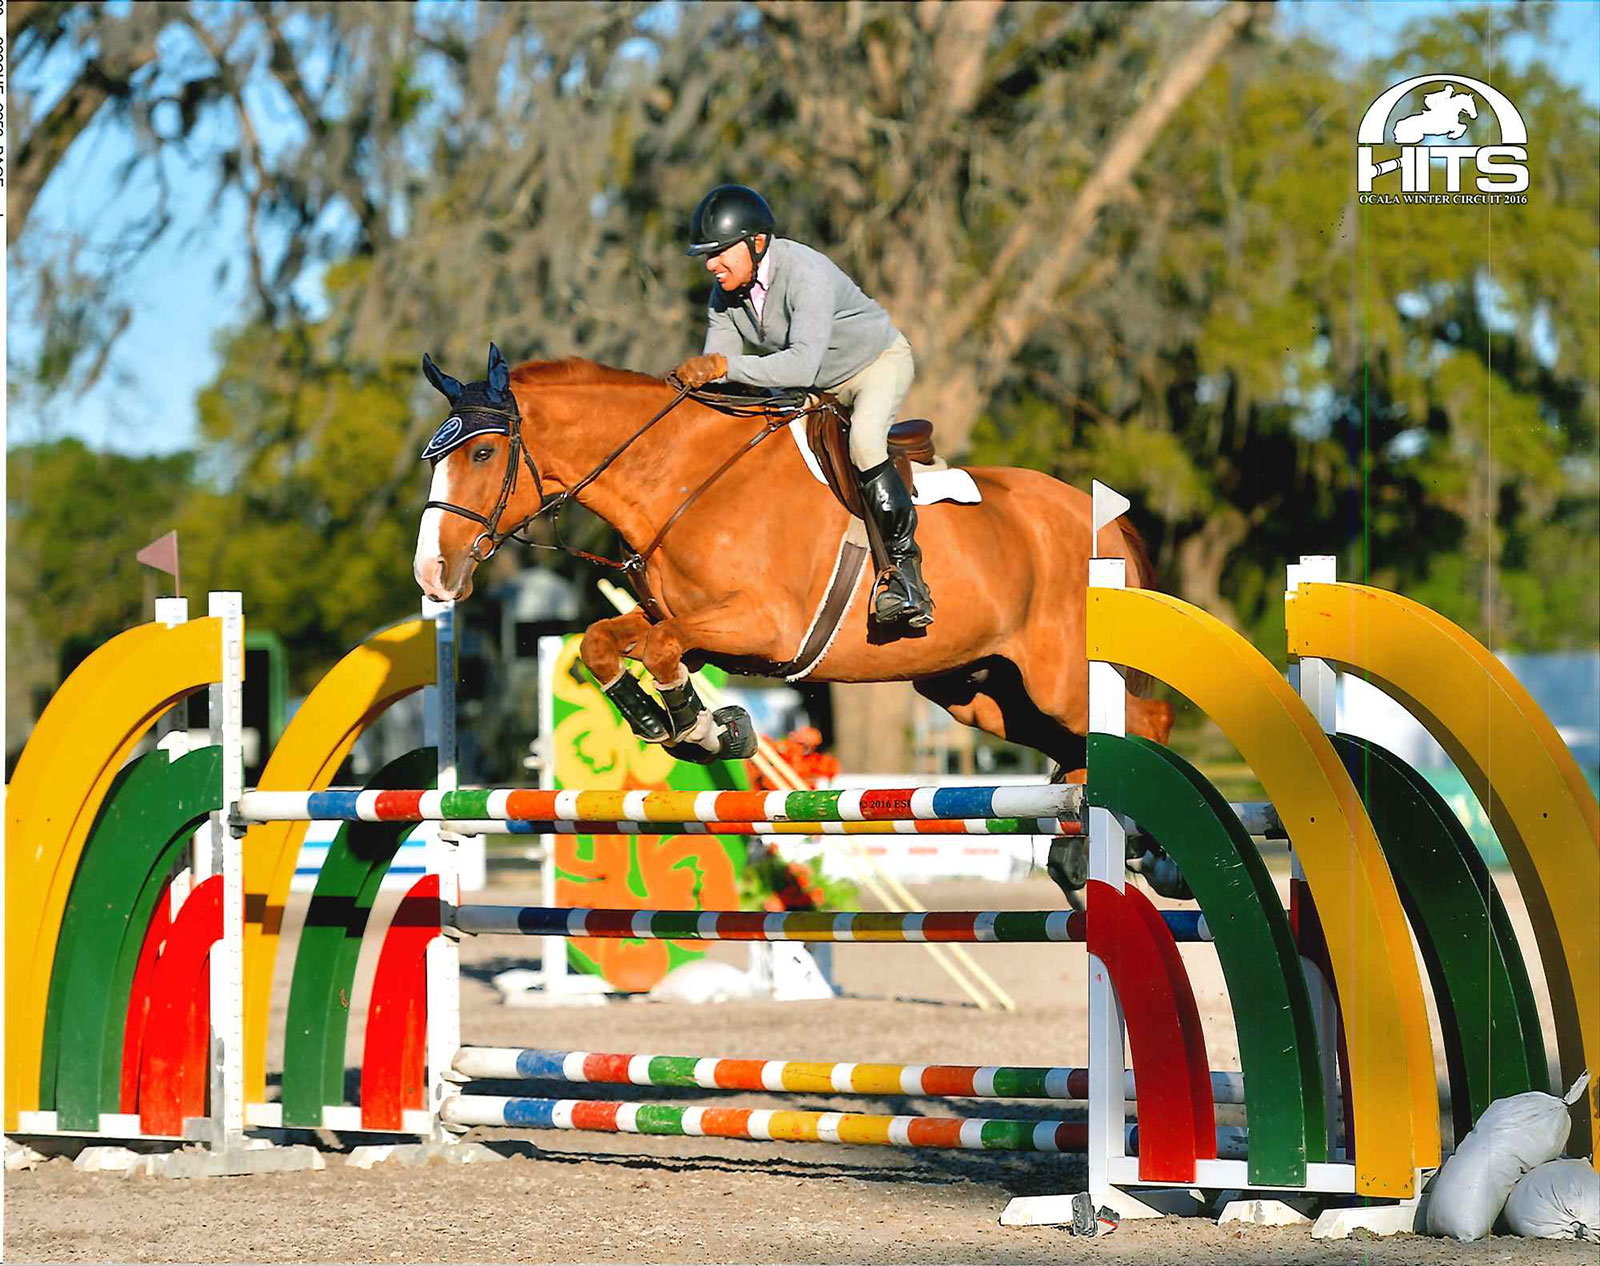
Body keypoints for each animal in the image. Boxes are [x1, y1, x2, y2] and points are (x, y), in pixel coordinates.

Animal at [413, 345, 1174, 778]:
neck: (686, 482)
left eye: (482, 453)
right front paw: (683, 728)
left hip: (1060, 679)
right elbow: (606, 644)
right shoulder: (691, 625)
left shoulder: (763, 626)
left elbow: (658, 649)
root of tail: (1098, 516)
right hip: (981, 693)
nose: (431, 574)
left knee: (1146, 725)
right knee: (1066, 744)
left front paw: (703, 729)